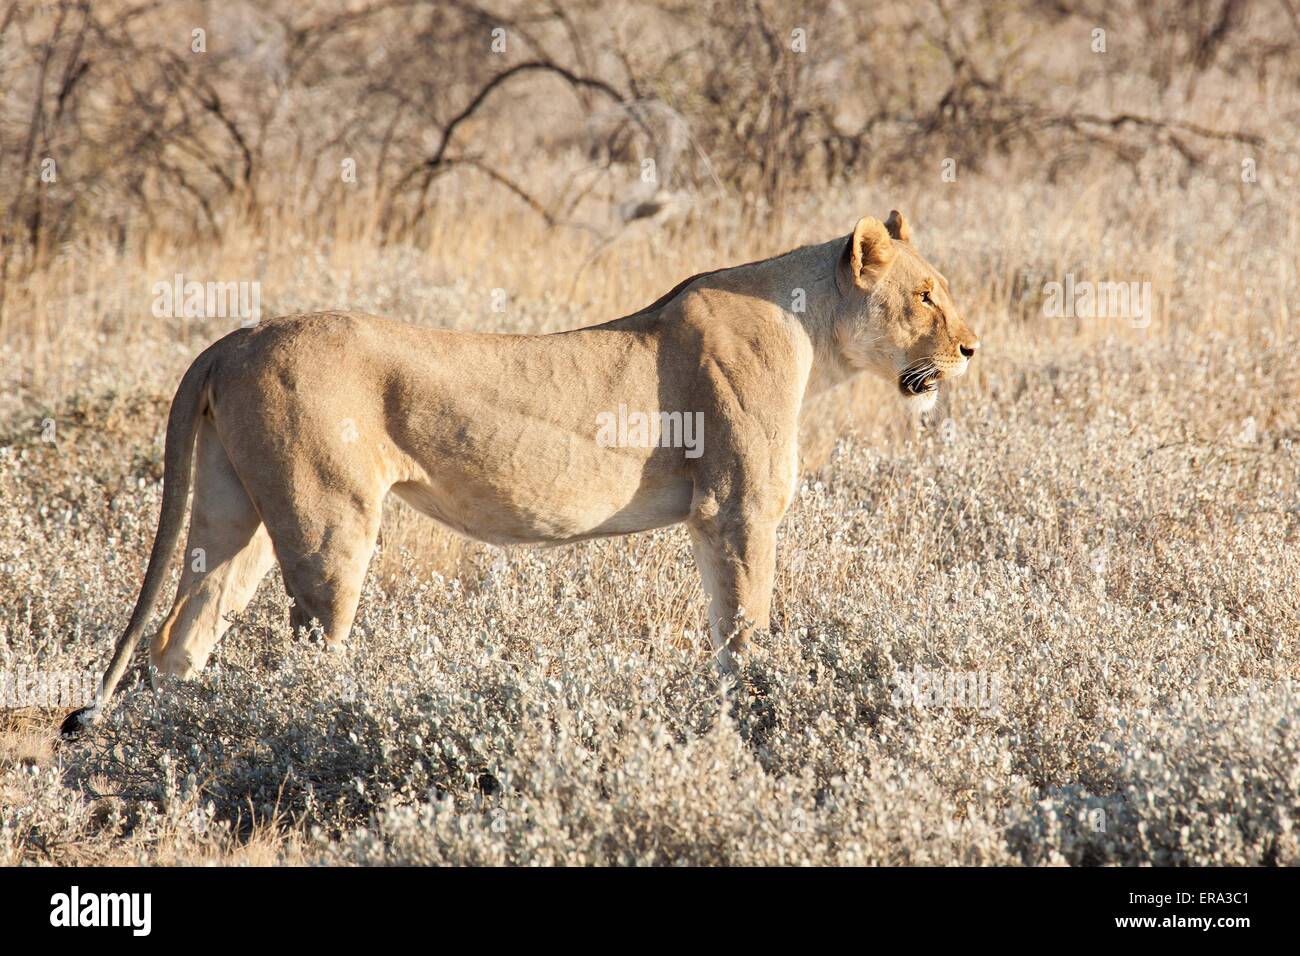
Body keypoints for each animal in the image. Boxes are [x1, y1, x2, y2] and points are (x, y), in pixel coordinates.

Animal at [61, 210, 978, 735]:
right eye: (926, 295)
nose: (972, 348)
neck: (810, 331)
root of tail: (234, 335)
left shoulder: (713, 520)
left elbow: (727, 630)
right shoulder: (738, 509)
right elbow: (745, 632)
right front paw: (755, 716)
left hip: (237, 512)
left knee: (180, 637)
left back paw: (173, 752)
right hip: (329, 519)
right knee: (307, 645)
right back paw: (325, 723)